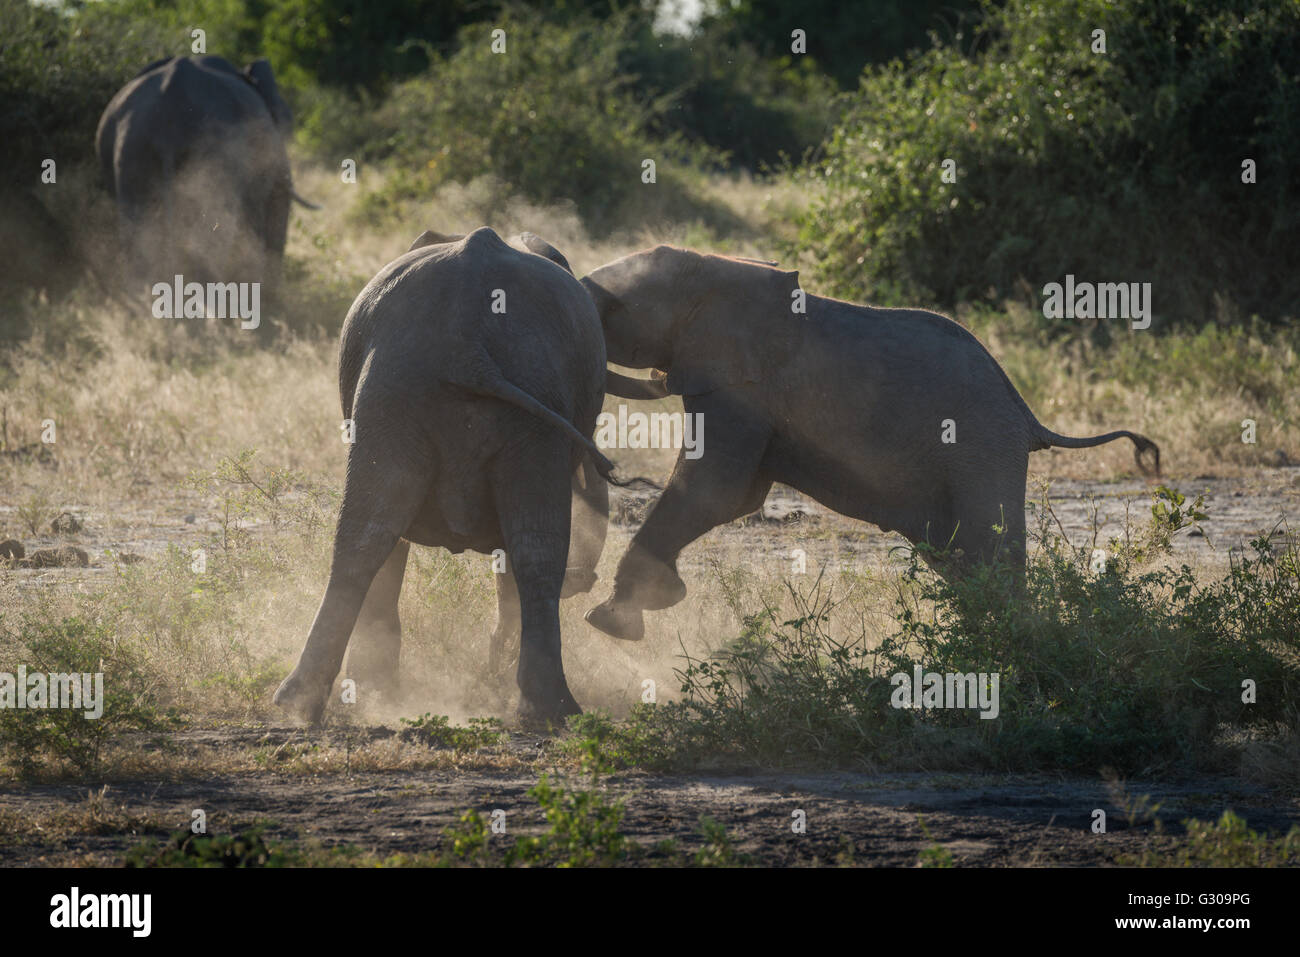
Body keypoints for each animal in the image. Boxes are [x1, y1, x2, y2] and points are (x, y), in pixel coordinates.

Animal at [582, 245, 1160, 640]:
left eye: (612, 307)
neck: (712, 269)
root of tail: (1027, 413)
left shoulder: (742, 388)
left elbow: (713, 491)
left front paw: (609, 621)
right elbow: (736, 498)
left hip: (982, 445)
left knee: (987, 548)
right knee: (958, 557)